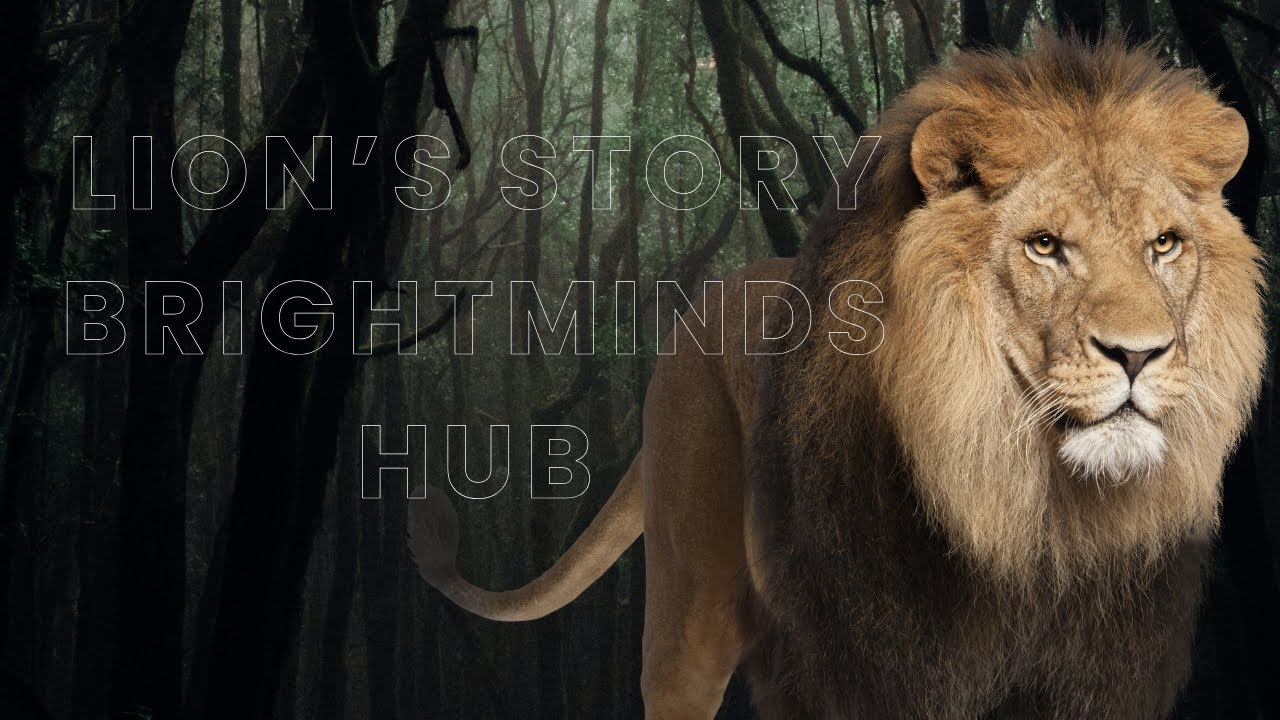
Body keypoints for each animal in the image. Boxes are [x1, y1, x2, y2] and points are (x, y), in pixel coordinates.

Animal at [409, 36, 1266, 719]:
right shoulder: (874, 665)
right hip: (693, 605)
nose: (1139, 354)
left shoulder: (1107, 677)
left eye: (1164, 243)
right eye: (1046, 245)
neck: (1032, 517)